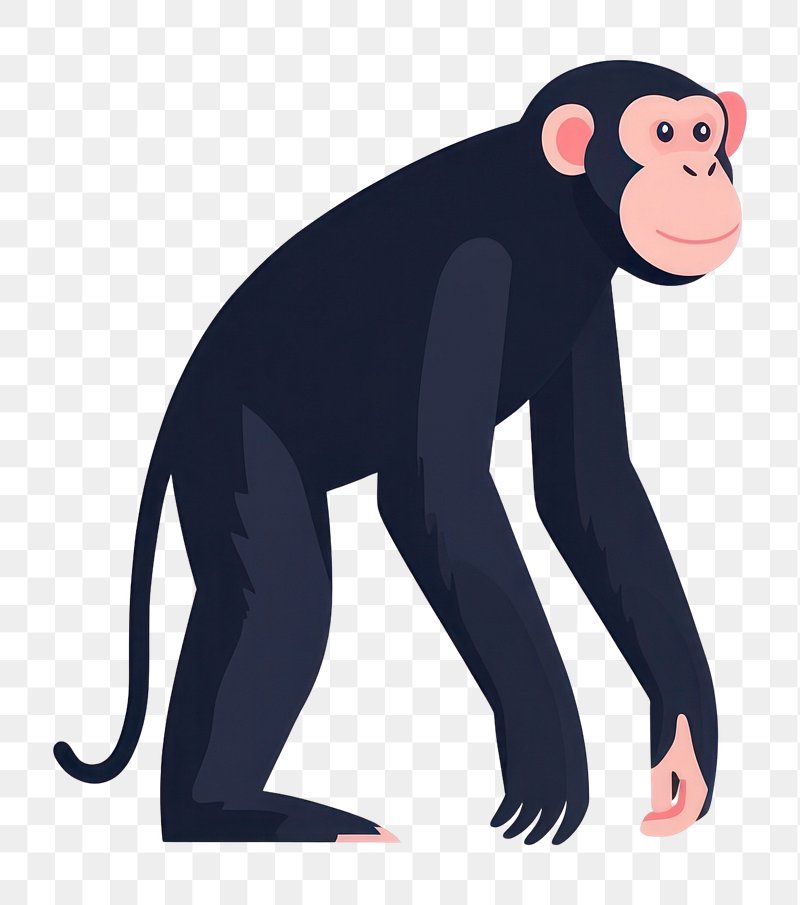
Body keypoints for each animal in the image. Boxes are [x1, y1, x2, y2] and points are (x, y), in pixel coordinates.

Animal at [54, 60, 746, 845]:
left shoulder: (591, 305)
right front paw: (550, 754)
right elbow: (438, 492)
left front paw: (683, 753)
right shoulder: (473, 275)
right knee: (282, 601)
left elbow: (590, 489)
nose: (700, 166)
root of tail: (179, 398)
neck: (554, 208)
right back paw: (222, 810)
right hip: (227, 434)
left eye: (704, 130)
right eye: (661, 133)